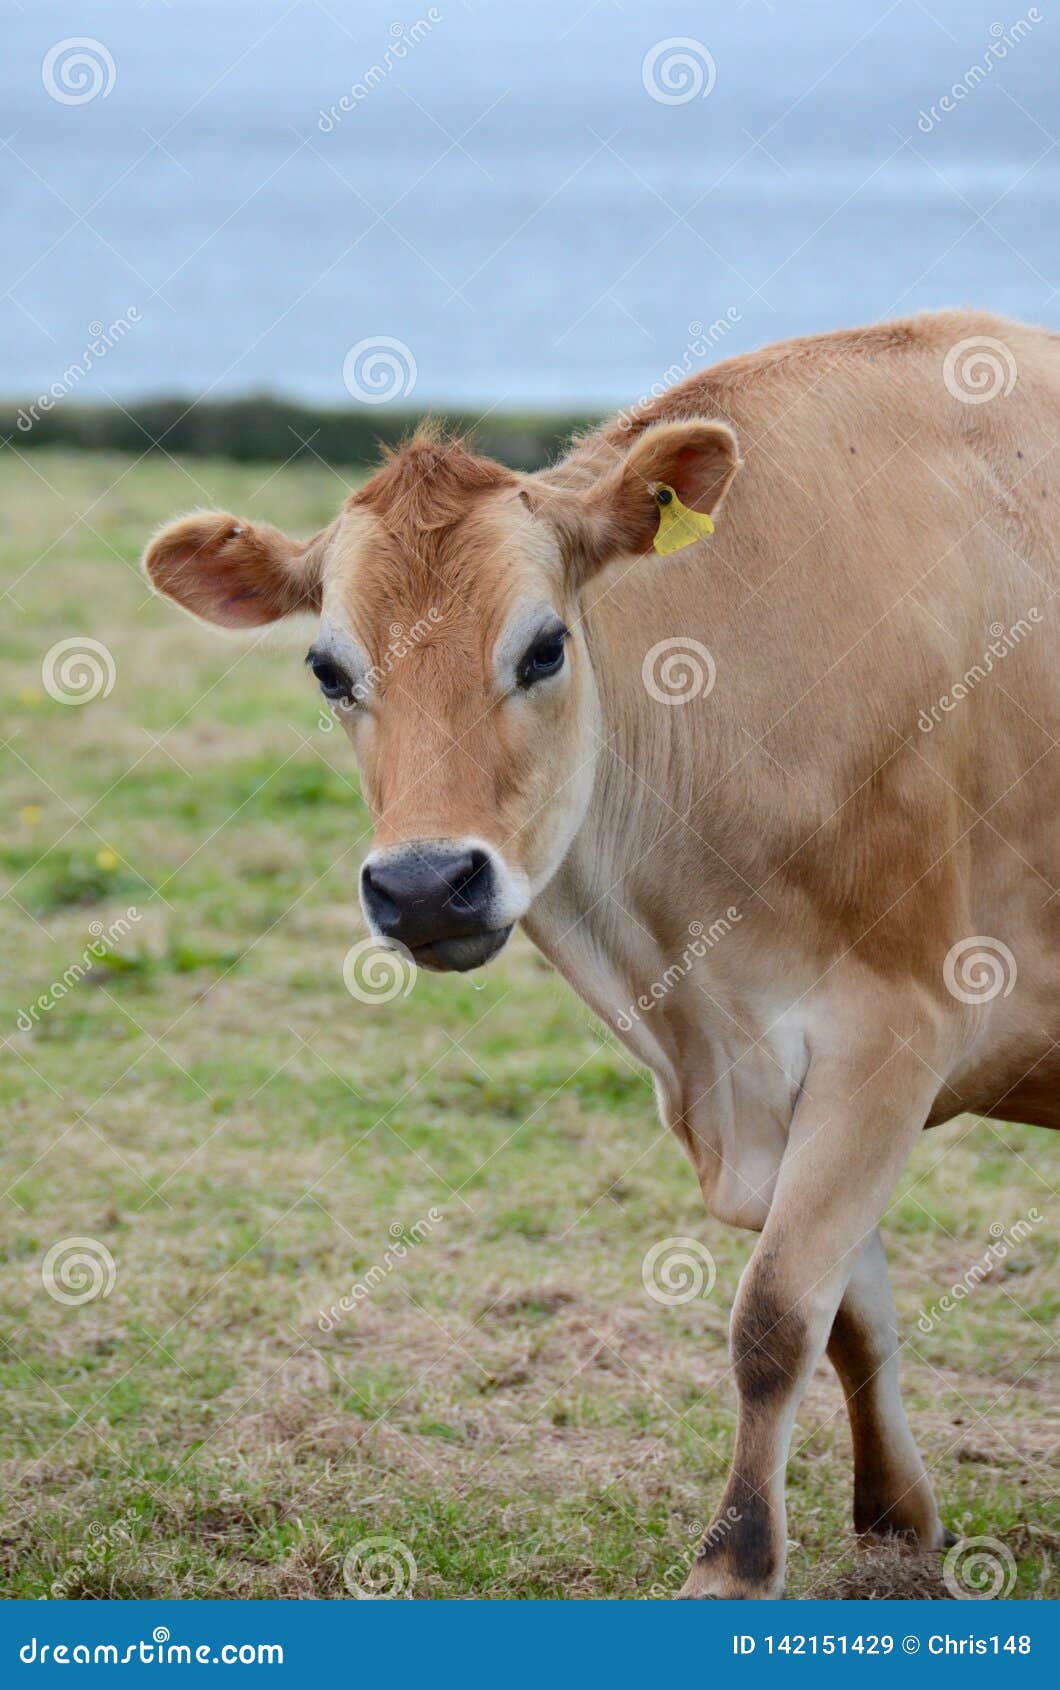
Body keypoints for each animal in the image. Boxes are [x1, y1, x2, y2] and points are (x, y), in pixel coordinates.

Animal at [143, 309, 1058, 1598]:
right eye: (328, 668)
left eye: (543, 648)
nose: (424, 883)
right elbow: (849, 1317)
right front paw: (892, 1523)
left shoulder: (897, 1027)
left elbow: (776, 1314)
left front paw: (734, 1562)